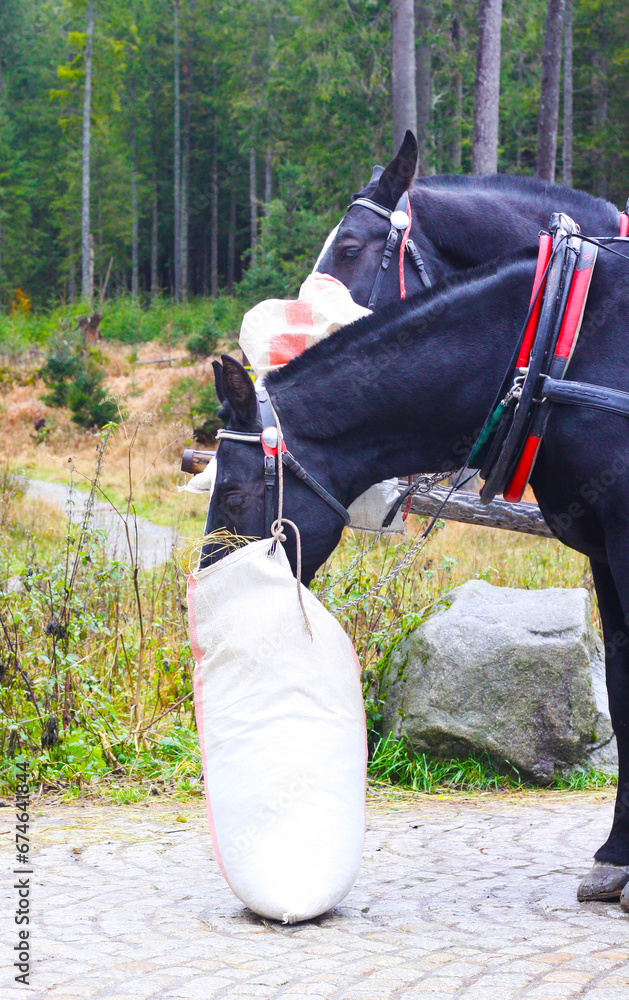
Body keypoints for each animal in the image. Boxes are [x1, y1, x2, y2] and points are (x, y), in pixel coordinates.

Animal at [206, 240, 629, 907]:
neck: (565, 347)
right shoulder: (603, 549)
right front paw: (616, 856)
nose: (208, 589)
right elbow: (620, 685)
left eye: (231, 494)